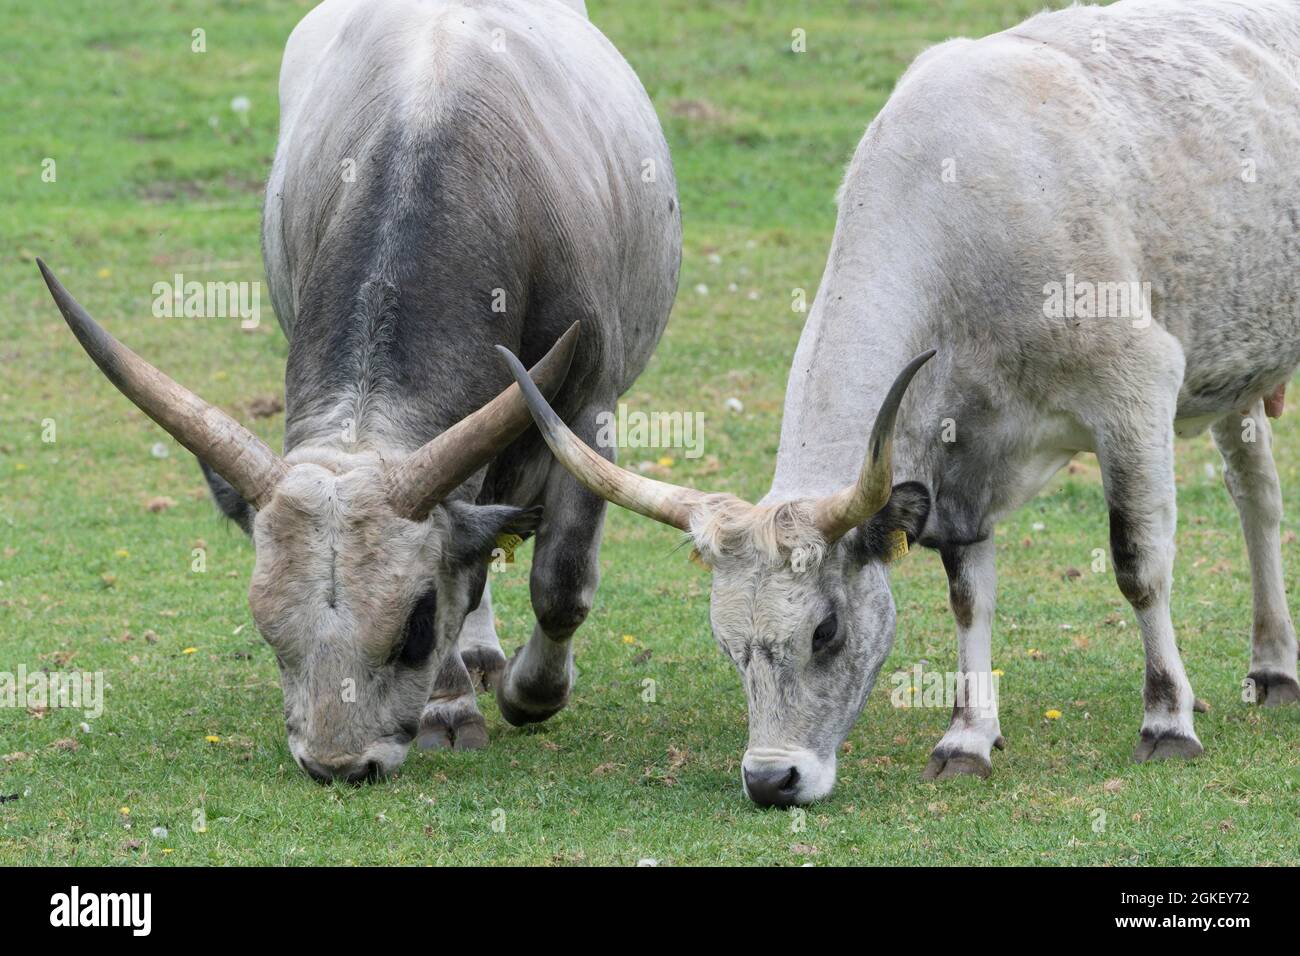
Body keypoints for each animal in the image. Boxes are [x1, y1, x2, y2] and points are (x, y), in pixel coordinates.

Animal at [37, 0, 680, 783]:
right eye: (267, 630)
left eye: (416, 624)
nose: (338, 766)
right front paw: (448, 706)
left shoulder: (587, 411)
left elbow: (560, 581)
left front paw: (532, 695)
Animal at [498, 0, 1300, 805]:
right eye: (727, 644)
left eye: (825, 631)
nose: (771, 779)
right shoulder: (959, 460)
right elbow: (969, 593)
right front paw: (968, 736)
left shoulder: (1134, 390)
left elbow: (1139, 565)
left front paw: (1167, 722)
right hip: (1237, 368)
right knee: (1256, 495)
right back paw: (1272, 666)